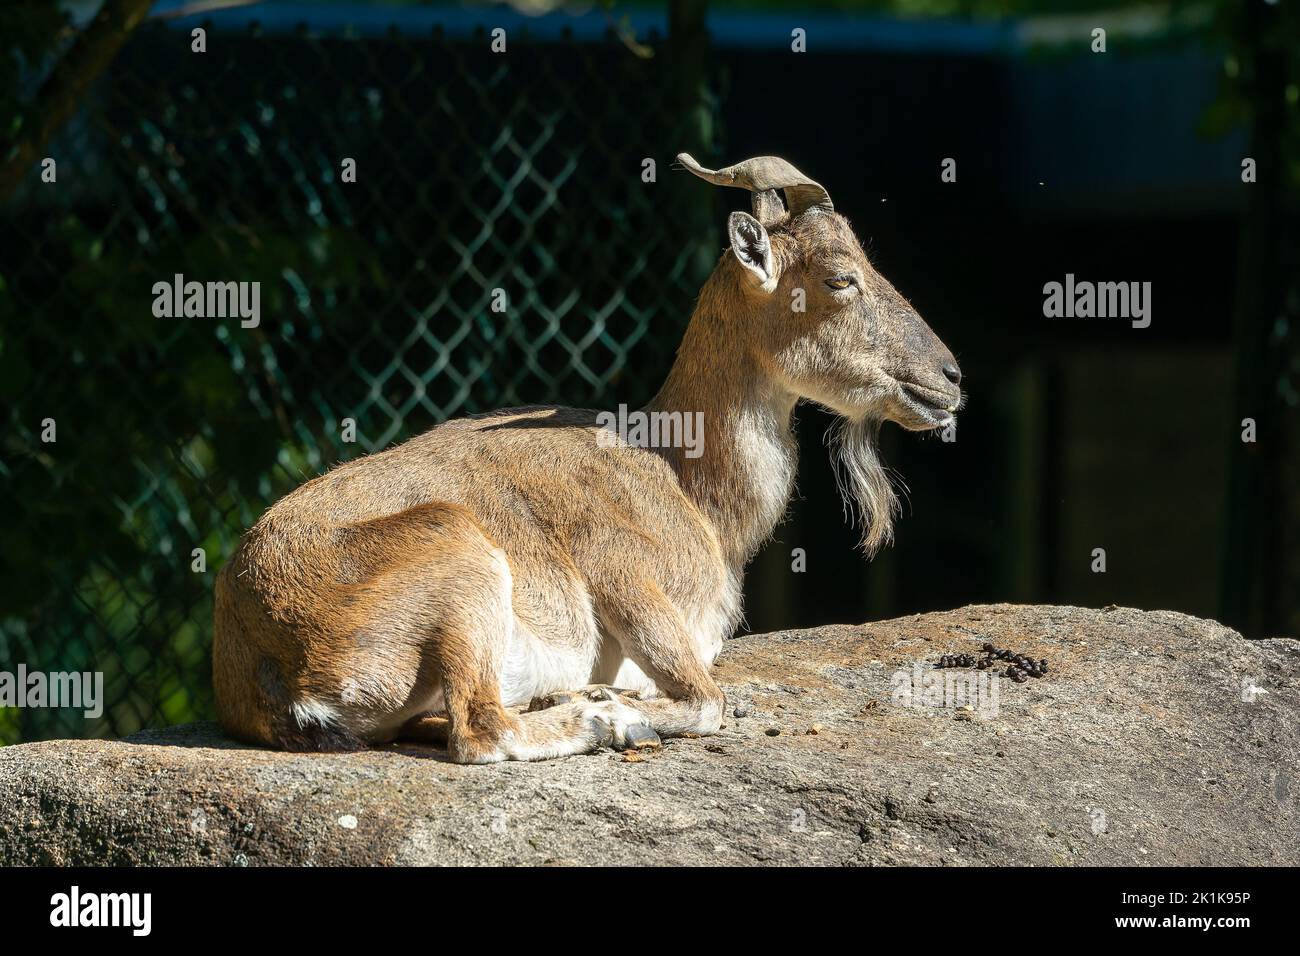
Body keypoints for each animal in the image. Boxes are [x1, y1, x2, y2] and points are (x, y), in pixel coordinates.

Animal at [212, 153, 963, 762]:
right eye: (841, 278)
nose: (950, 378)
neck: (681, 477)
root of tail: (262, 663)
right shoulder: (623, 574)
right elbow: (707, 701)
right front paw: (618, 707)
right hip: (460, 561)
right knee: (481, 731)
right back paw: (598, 719)